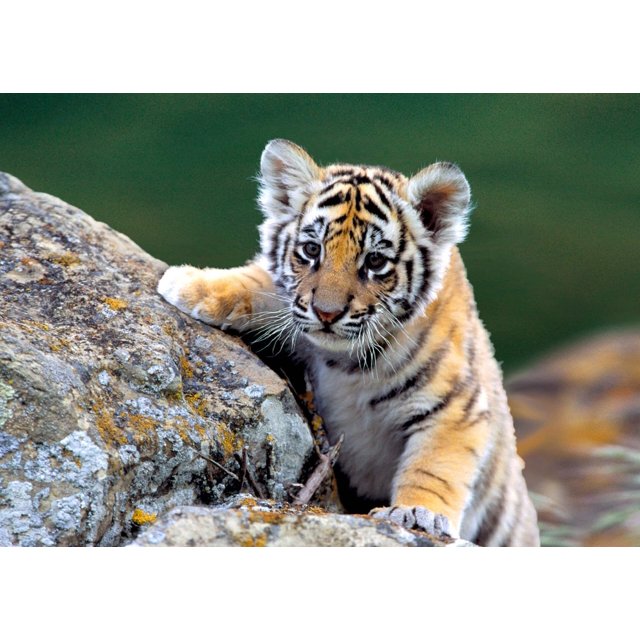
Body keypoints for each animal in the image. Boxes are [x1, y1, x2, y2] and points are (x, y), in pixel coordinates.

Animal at [157, 139, 540, 546]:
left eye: (375, 262)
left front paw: (417, 513)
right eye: (312, 251)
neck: (345, 362)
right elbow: (258, 282)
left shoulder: (455, 406)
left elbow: (433, 468)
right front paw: (187, 283)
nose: (327, 313)